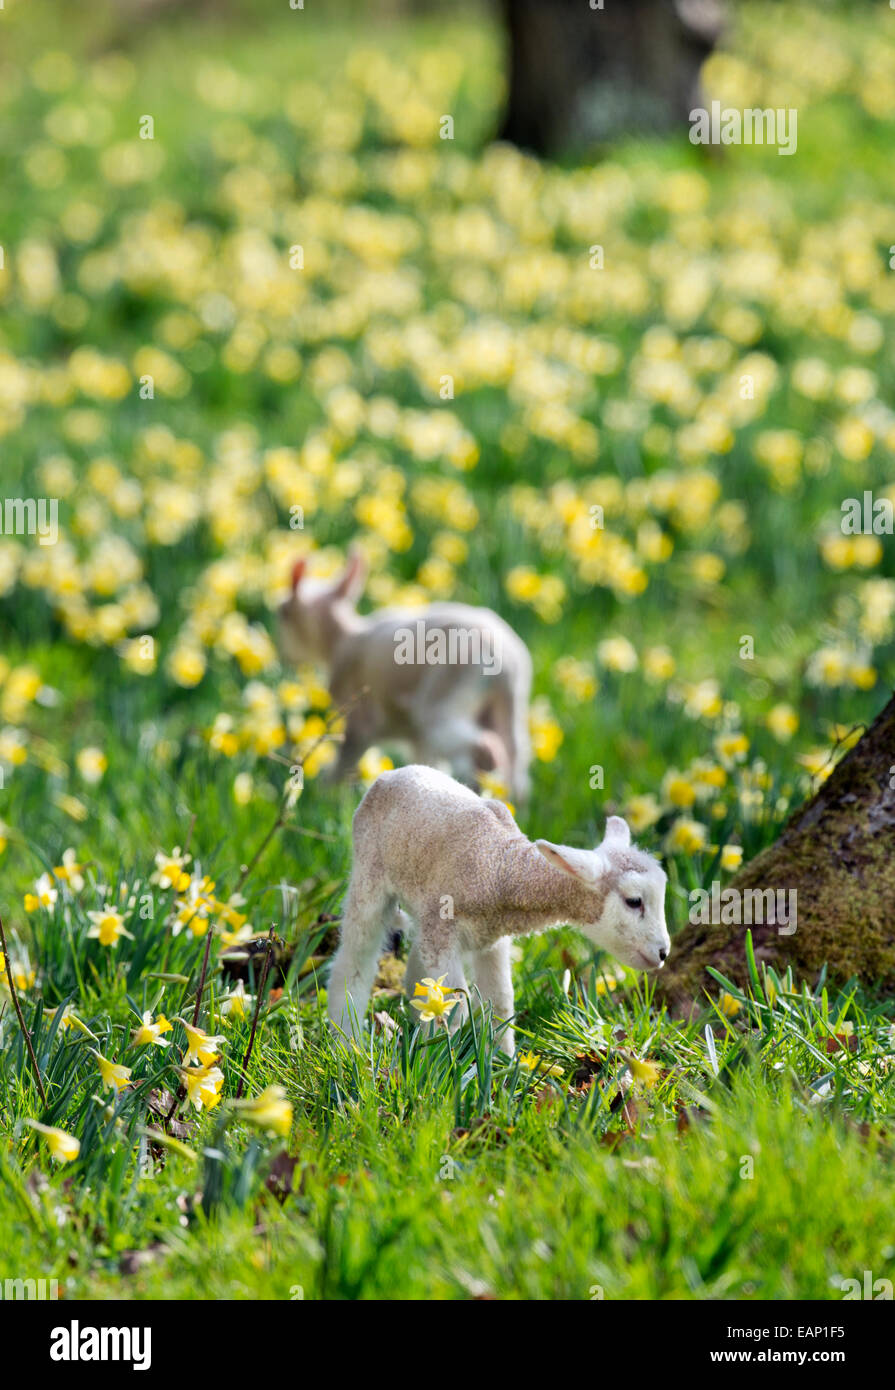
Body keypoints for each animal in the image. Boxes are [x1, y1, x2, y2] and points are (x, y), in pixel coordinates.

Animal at [277, 550, 533, 801]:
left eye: (282, 613)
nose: (285, 658)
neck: (339, 639)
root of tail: (504, 658)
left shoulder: (358, 718)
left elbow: (346, 759)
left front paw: (323, 793)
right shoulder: (417, 740)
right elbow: (427, 767)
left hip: (443, 696)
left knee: (486, 746)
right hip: (507, 706)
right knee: (516, 760)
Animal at [327, 764, 670, 1056]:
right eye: (634, 901)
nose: (664, 952)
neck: (499, 868)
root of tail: (392, 772)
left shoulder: (490, 939)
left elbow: (501, 1001)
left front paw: (502, 1065)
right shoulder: (443, 927)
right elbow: (453, 1005)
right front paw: (437, 1065)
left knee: (416, 970)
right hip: (369, 874)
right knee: (354, 959)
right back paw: (345, 1040)